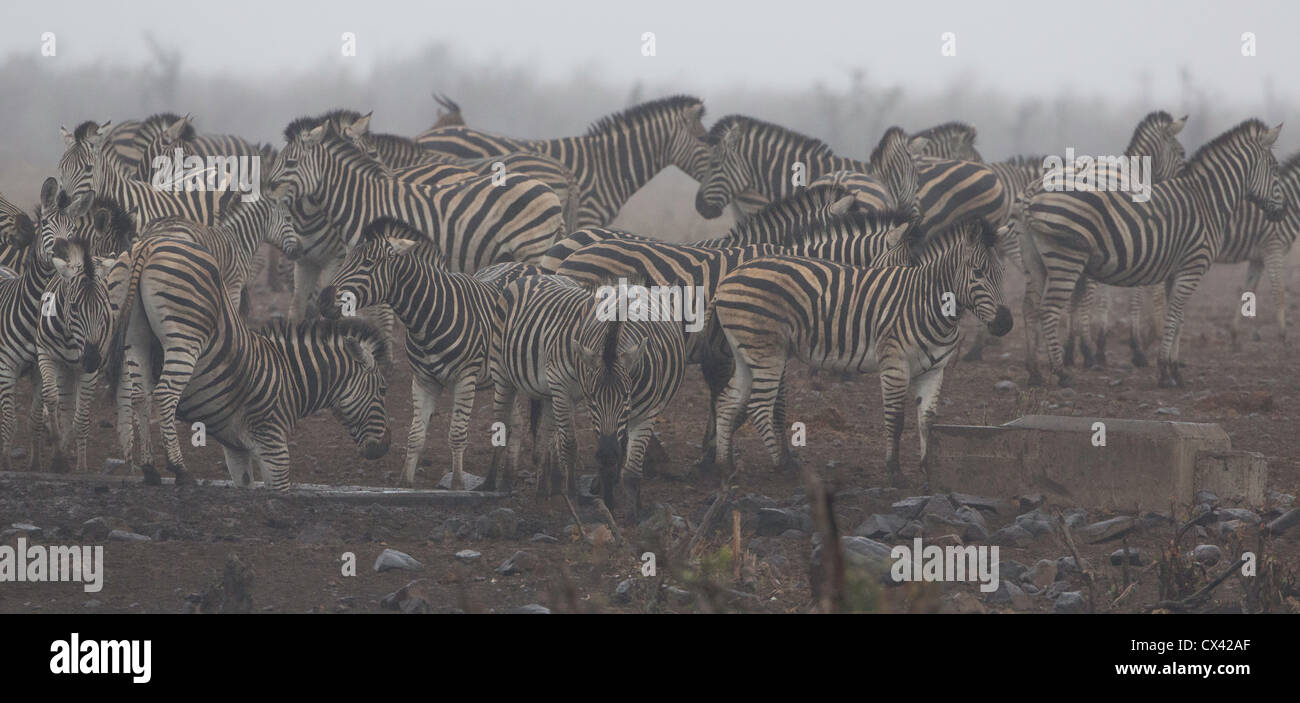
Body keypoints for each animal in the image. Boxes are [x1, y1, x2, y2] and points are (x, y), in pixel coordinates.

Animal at [107, 235, 391, 488]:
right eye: (381, 390)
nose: (385, 447)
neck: (289, 374)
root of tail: (147, 244)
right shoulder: (273, 444)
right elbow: (280, 488)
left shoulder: (236, 449)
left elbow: (244, 482)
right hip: (185, 336)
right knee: (165, 394)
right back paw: (180, 470)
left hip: (135, 338)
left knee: (140, 396)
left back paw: (150, 470)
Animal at [317, 217, 513, 489]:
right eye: (345, 260)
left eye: (368, 263)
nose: (322, 301)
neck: (429, 317)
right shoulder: (422, 379)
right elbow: (415, 435)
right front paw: (405, 482)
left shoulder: (466, 378)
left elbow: (457, 434)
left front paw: (458, 484)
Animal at [484, 274, 685, 516]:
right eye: (592, 399)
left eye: (626, 396)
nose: (606, 453)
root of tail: (534, 275)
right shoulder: (565, 390)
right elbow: (571, 446)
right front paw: (577, 497)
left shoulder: (647, 412)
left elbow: (631, 469)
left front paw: (632, 512)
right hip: (502, 373)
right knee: (502, 423)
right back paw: (490, 485)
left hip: (546, 393)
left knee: (543, 437)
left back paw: (543, 493)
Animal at [711, 218, 1012, 486]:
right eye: (978, 273)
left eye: (1003, 274)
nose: (1005, 323)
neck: (928, 303)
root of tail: (728, 278)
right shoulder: (894, 364)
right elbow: (896, 420)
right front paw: (895, 473)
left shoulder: (934, 370)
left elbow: (927, 420)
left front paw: (928, 472)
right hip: (767, 352)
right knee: (759, 406)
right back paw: (783, 467)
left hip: (746, 352)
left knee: (727, 401)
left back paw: (726, 467)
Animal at [1019, 119, 1284, 388]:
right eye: (1275, 168)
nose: (1281, 212)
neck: (1206, 202)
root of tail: (1034, 193)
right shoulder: (1192, 267)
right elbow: (1174, 314)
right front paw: (1165, 370)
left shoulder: (1176, 272)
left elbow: (1179, 319)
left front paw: (1175, 368)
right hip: (1067, 258)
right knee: (1049, 310)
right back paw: (1062, 373)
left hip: (1036, 261)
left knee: (1030, 306)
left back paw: (1035, 372)